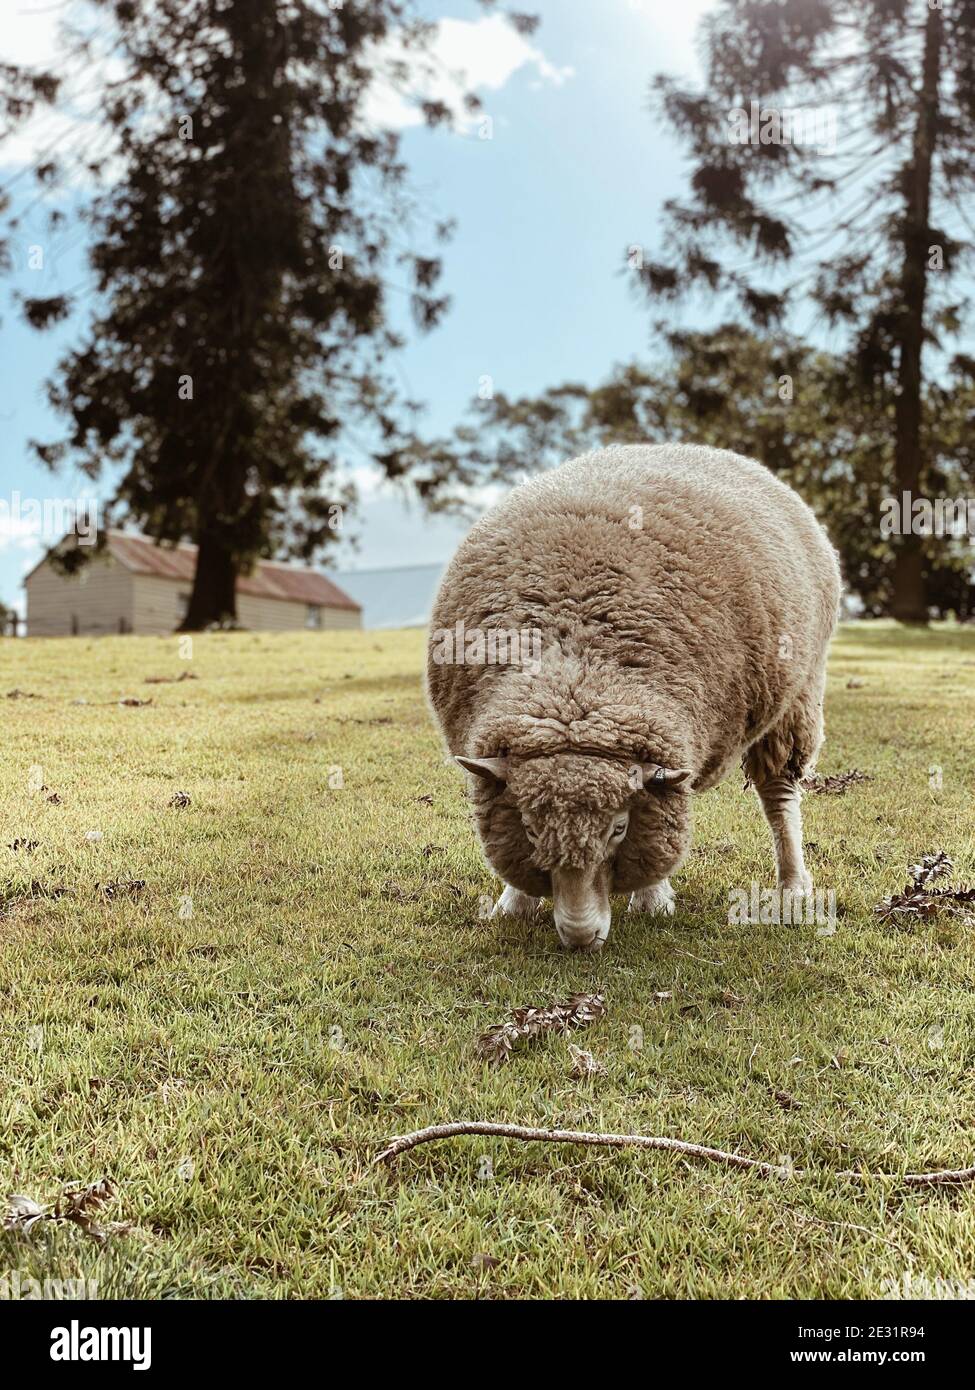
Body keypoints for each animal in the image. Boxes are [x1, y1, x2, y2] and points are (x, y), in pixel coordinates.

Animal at [427, 443, 841, 951]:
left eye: (620, 828)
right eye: (529, 827)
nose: (580, 937)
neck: (577, 671)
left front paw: (652, 900)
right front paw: (514, 903)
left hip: (798, 694)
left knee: (779, 793)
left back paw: (793, 886)